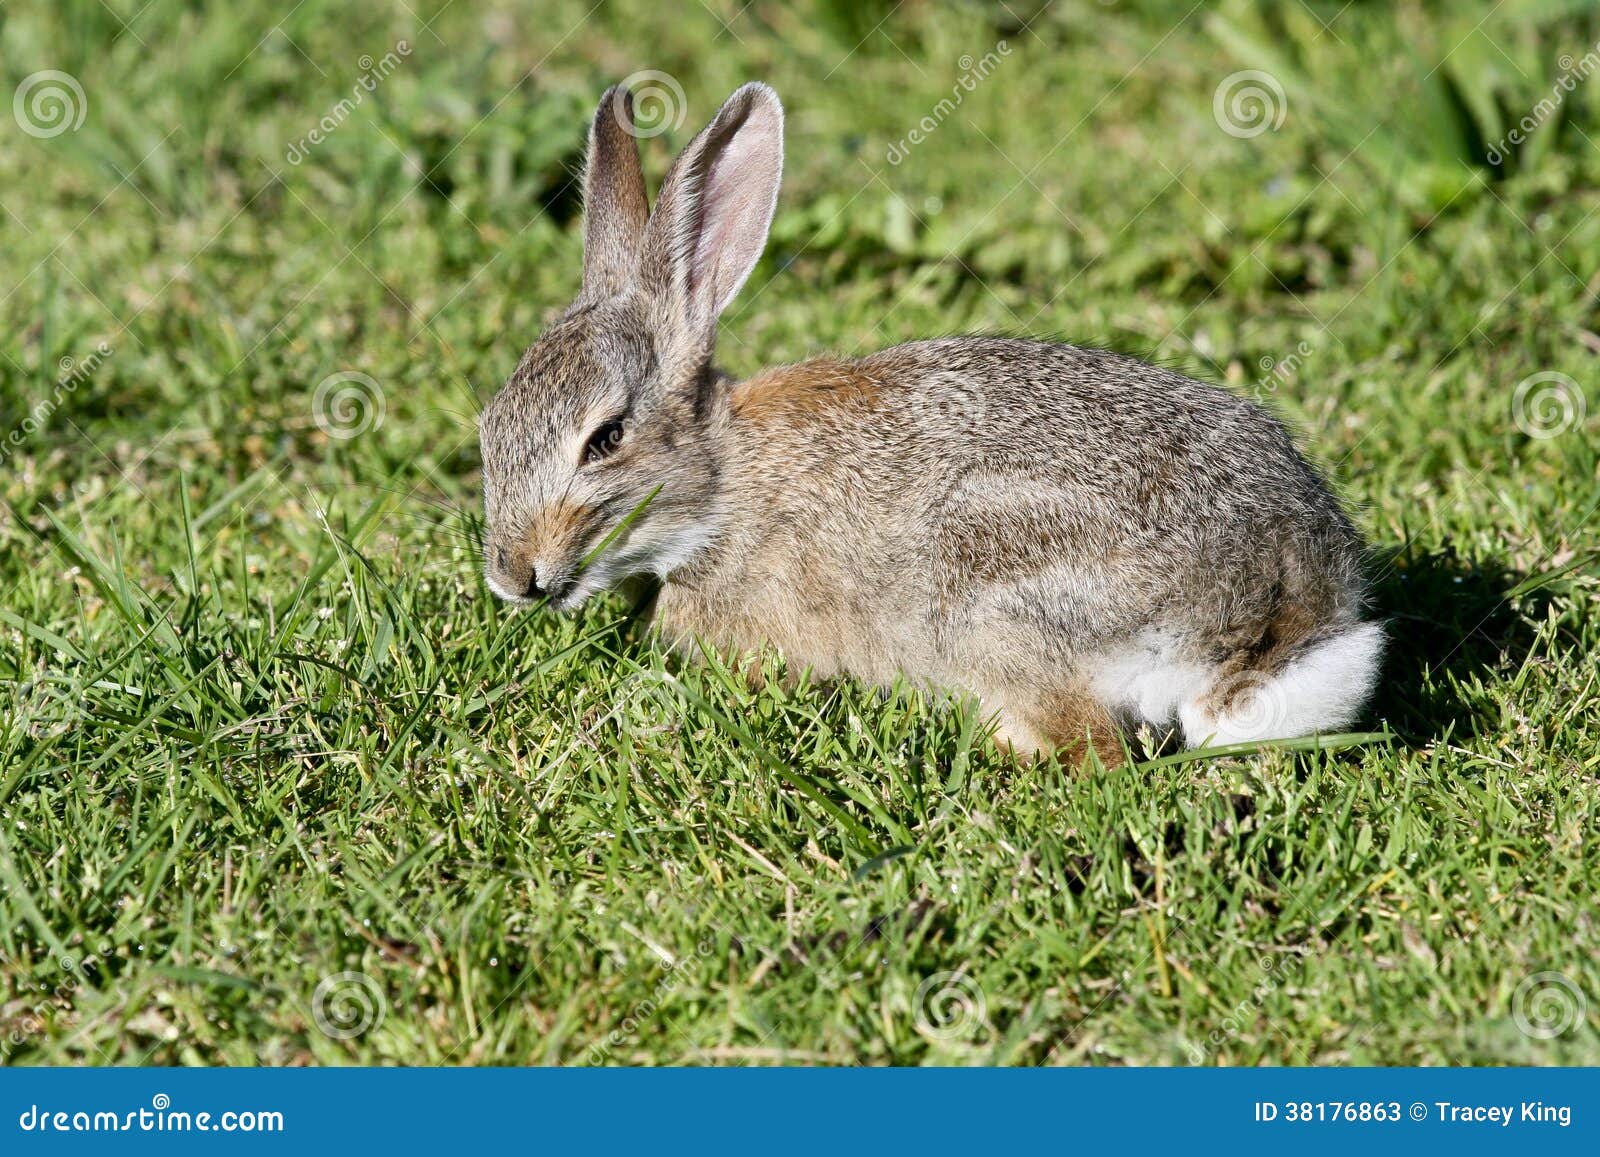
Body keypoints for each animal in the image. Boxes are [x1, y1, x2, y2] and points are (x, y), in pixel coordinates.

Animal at [477, 81, 1385, 763]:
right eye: (488, 427)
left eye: (605, 439)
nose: (513, 577)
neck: (724, 480)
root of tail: (1282, 609)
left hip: (995, 599)